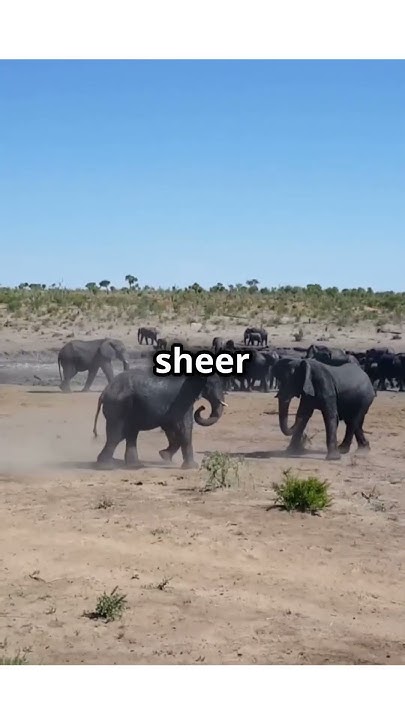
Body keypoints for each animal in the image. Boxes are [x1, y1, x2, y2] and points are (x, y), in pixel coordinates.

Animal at [92, 369, 228, 470]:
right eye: (215, 383)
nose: (202, 407)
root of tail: (104, 392)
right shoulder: (183, 397)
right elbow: (184, 426)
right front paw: (192, 467)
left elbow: (171, 428)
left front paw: (164, 456)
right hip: (119, 407)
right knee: (117, 435)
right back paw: (107, 466)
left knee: (130, 434)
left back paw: (133, 465)